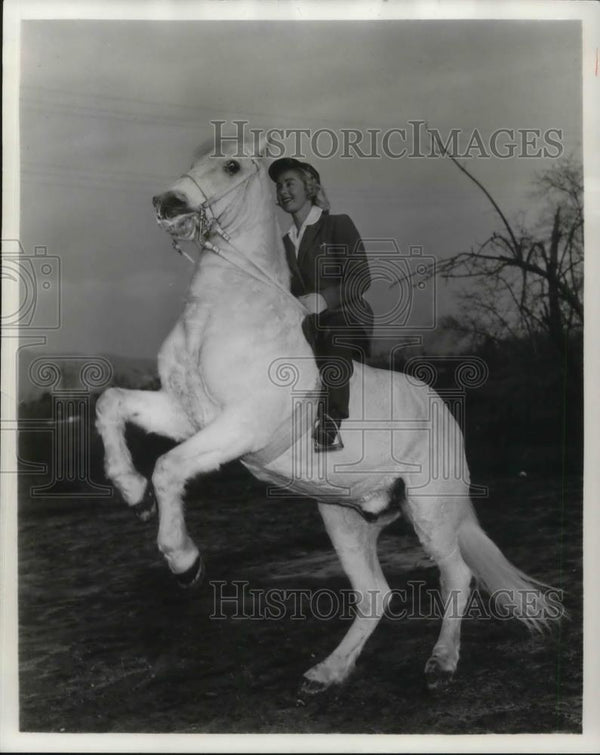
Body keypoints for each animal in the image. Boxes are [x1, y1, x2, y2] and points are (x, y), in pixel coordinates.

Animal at [95, 134, 559, 694]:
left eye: (231, 166)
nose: (168, 203)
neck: (223, 317)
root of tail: (443, 410)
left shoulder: (240, 426)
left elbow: (169, 468)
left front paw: (184, 561)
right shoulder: (187, 414)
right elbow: (110, 404)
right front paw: (132, 493)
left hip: (429, 509)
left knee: (456, 574)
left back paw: (441, 663)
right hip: (345, 516)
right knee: (375, 594)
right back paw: (327, 673)